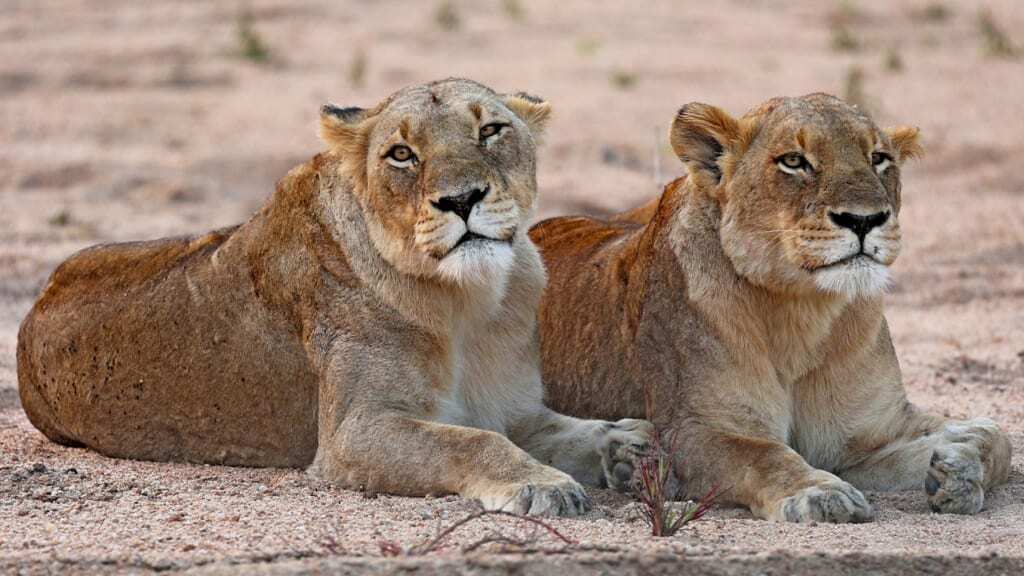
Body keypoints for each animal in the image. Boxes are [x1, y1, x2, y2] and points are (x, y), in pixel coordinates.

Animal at [16, 78, 652, 517]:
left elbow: (568, 428)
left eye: (491, 130)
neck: (469, 304)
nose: (461, 199)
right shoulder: (353, 434)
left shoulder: (513, 406)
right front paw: (542, 483)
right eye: (401, 154)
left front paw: (626, 446)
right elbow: (473, 443)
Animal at [530, 93, 1012, 522]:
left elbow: (999, 435)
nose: (864, 220)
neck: (805, 310)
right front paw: (819, 494)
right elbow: (762, 455)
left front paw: (958, 470)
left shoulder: (868, 436)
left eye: (878, 157)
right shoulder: (698, 428)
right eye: (794, 161)